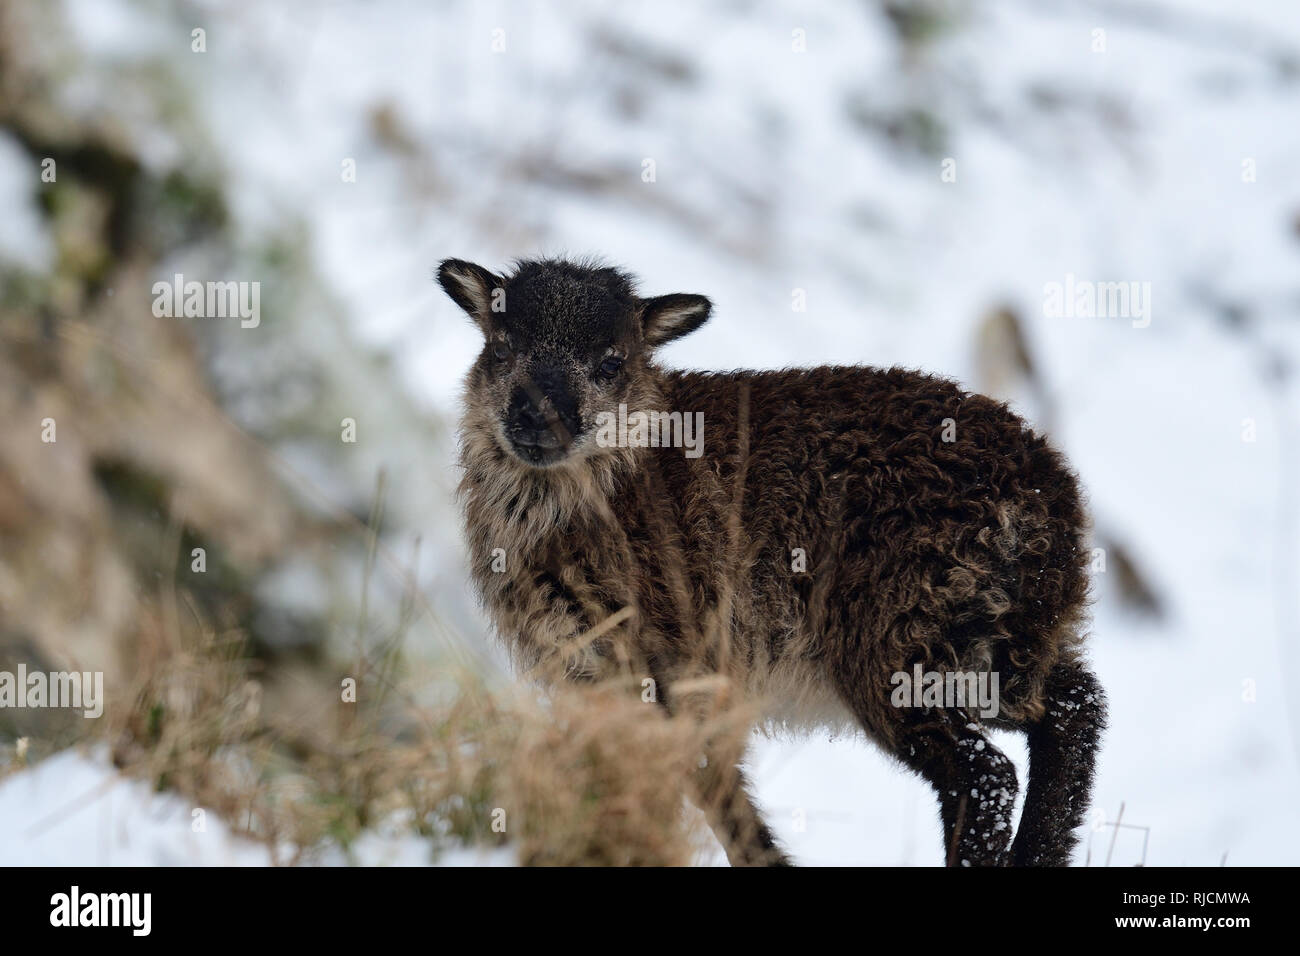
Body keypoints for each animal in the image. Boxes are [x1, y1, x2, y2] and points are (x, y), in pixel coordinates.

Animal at [438, 255, 1106, 867]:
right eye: (501, 346)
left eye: (612, 361)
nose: (536, 416)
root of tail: (1046, 502)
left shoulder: (675, 667)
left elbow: (702, 794)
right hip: (1002, 643)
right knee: (1075, 708)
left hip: (897, 642)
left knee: (985, 773)